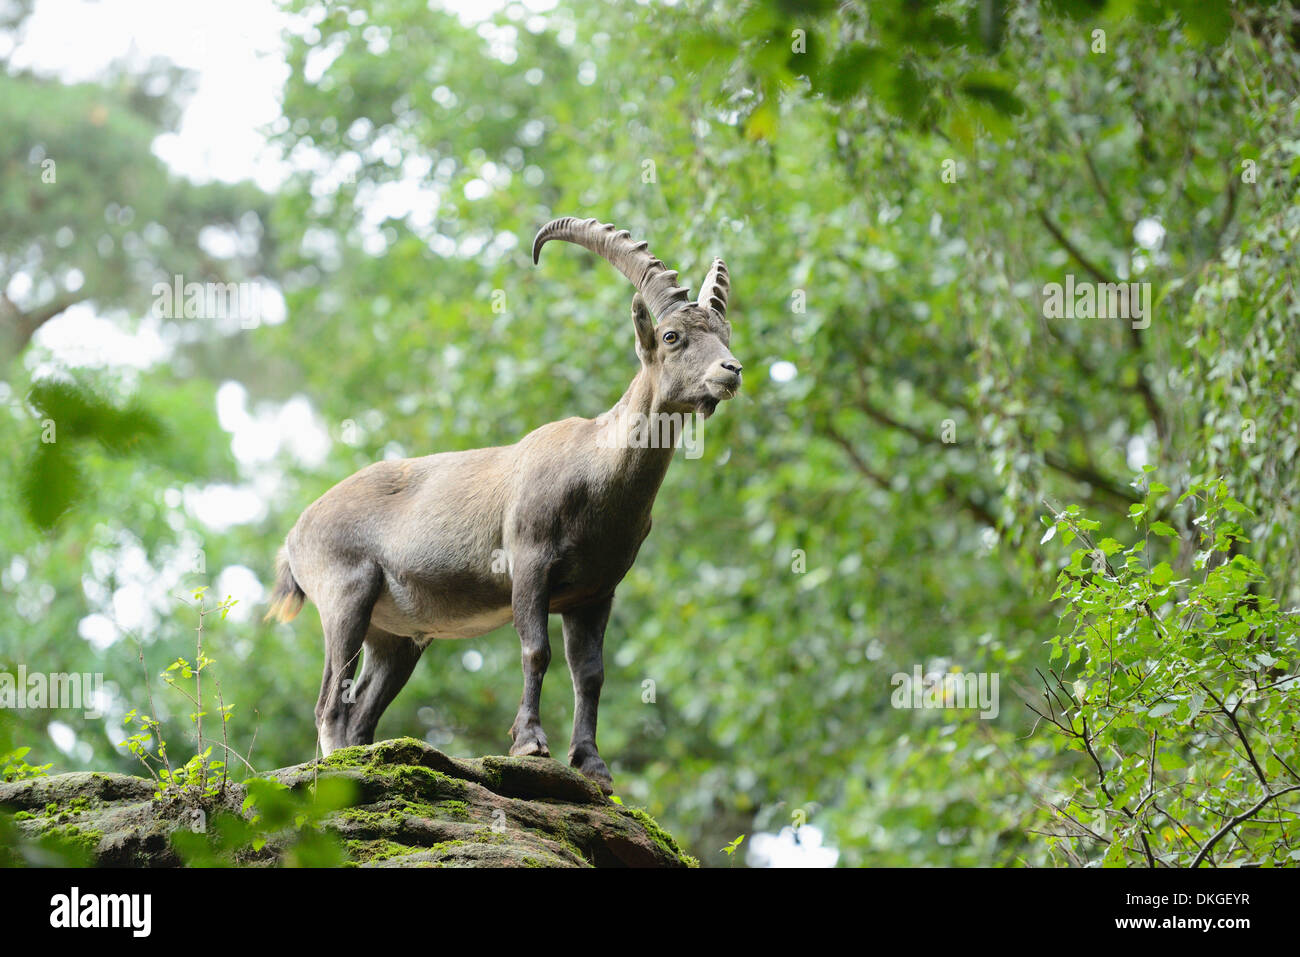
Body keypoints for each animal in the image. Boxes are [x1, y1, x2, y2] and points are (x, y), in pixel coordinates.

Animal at [264, 217, 742, 792]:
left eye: (725, 335)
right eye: (672, 337)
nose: (731, 370)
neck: (596, 470)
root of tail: (295, 536)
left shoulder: (594, 593)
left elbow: (590, 674)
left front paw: (593, 766)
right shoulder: (529, 563)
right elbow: (536, 650)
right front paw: (531, 743)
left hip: (395, 639)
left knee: (361, 713)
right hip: (345, 597)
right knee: (330, 705)